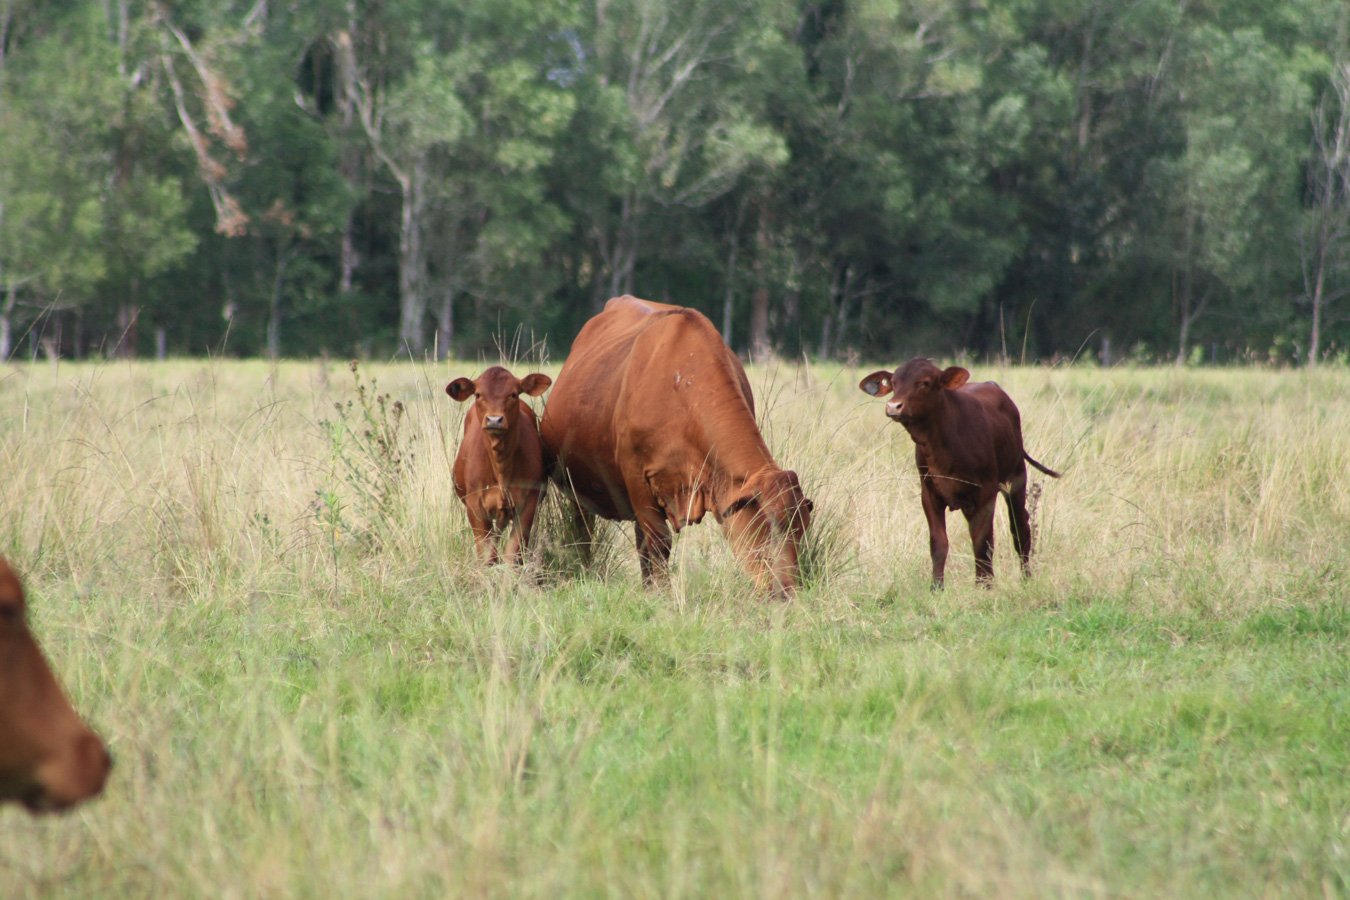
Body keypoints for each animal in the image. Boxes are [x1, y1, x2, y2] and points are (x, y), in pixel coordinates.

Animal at [446, 366, 552, 565]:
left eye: (513, 394)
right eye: (478, 394)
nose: (494, 420)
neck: (500, 467)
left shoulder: (528, 504)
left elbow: (513, 553)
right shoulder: (475, 507)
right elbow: (488, 555)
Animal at [540, 296, 813, 599]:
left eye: (801, 531)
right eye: (767, 527)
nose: (787, 591)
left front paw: (653, 589)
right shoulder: (637, 477)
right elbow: (659, 541)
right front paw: (662, 593)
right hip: (577, 486)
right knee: (583, 530)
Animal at [860, 358, 1060, 588]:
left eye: (925, 382)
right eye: (894, 382)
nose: (894, 406)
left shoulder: (985, 493)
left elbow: (983, 542)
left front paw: (984, 585)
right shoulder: (929, 494)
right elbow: (939, 543)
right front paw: (936, 587)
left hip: (1016, 478)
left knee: (1021, 530)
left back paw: (1026, 578)